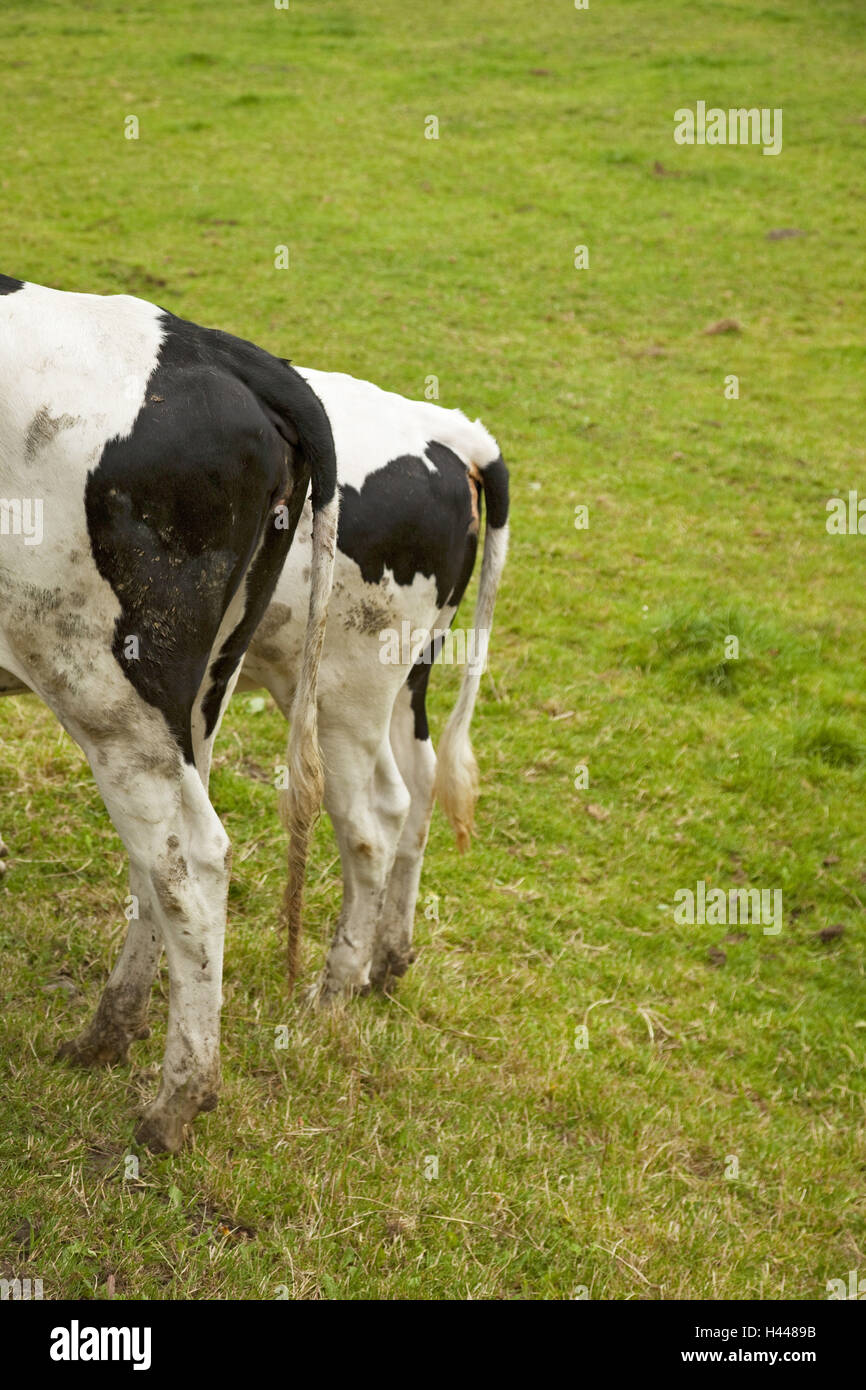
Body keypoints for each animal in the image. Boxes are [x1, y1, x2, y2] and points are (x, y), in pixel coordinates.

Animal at [0, 273, 338, 1152]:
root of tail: (217, 346)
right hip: (197, 690)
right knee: (161, 851)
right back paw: (108, 1032)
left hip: (103, 682)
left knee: (189, 856)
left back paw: (177, 1102)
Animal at [236, 366, 509, 999]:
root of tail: (454, 431)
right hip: (398, 679)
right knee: (421, 782)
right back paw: (387, 960)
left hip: (338, 693)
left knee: (374, 820)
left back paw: (333, 989)